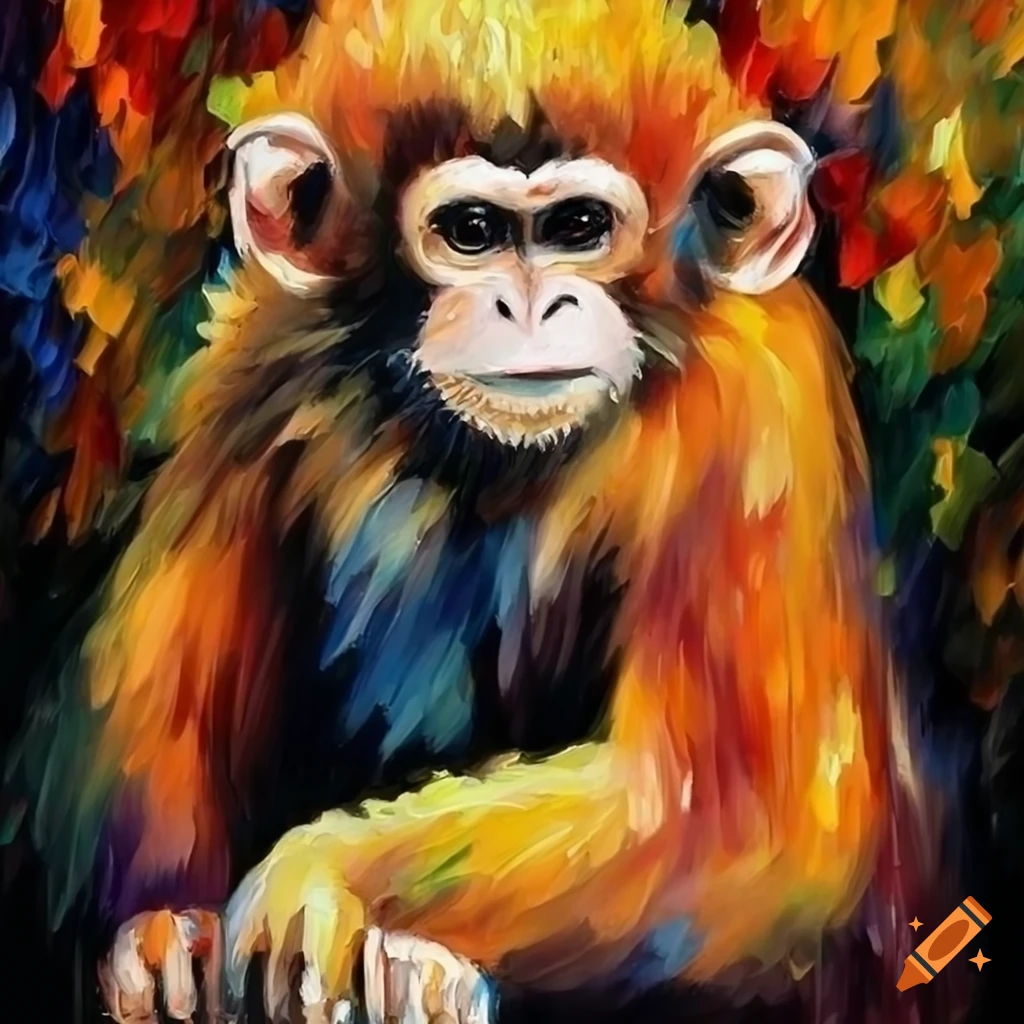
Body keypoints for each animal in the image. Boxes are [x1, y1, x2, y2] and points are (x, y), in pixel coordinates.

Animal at [2, 2, 915, 1022]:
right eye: (471, 230)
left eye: (581, 226)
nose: (534, 305)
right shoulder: (259, 355)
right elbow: (150, 699)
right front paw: (170, 923)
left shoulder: (756, 406)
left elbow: (741, 814)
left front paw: (316, 876)